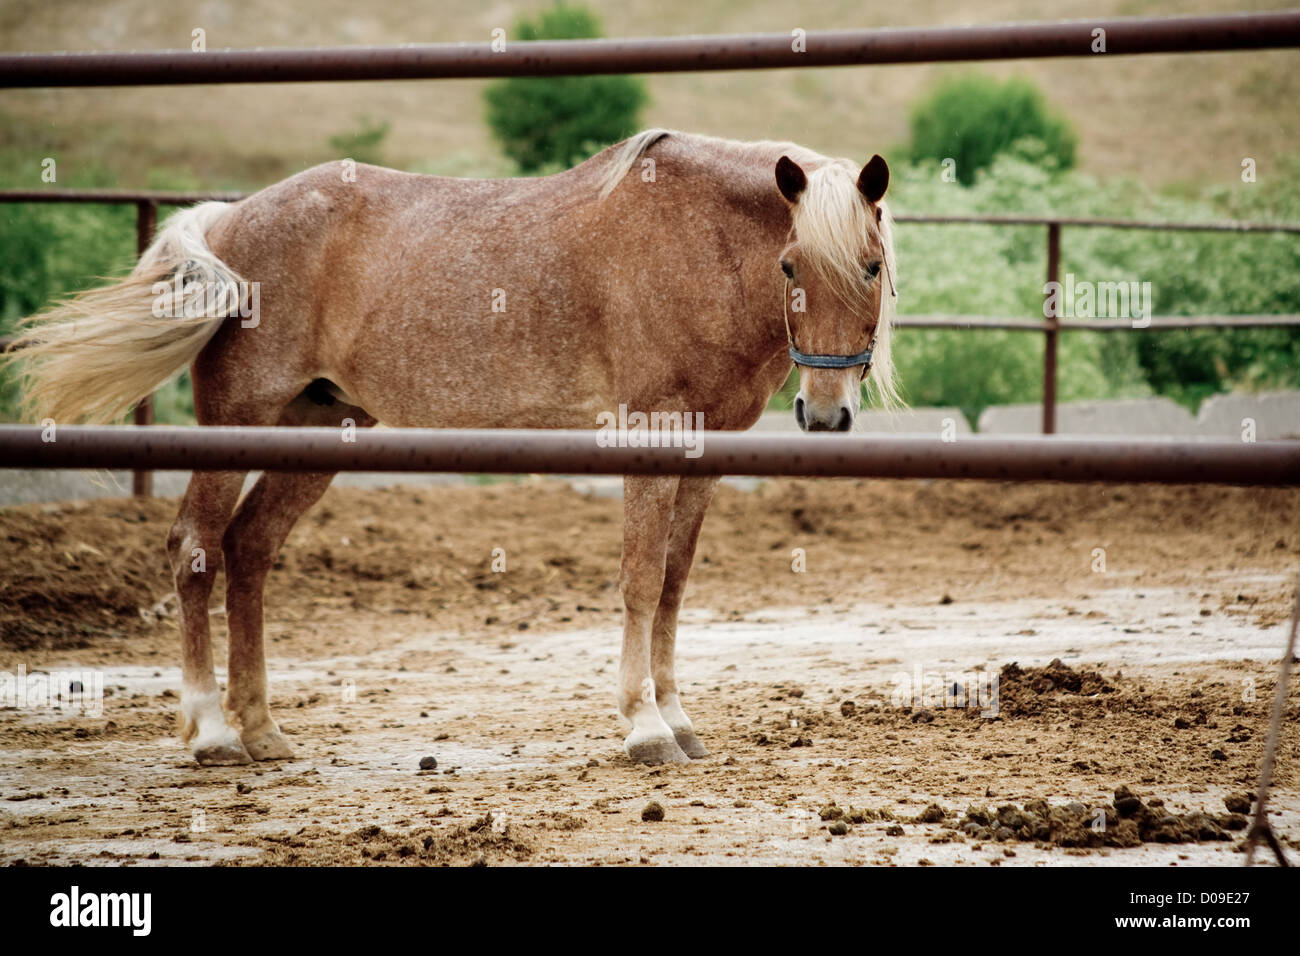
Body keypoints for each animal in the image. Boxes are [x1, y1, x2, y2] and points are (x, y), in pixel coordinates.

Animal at [6, 129, 899, 766]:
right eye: (790, 264)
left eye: (871, 265)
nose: (825, 416)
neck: (693, 242)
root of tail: (226, 219)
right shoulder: (647, 434)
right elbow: (642, 581)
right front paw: (645, 729)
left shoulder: (705, 453)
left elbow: (675, 586)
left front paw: (678, 721)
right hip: (237, 425)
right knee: (195, 547)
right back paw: (212, 734)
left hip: (315, 431)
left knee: (249, 550)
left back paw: (262, 731)